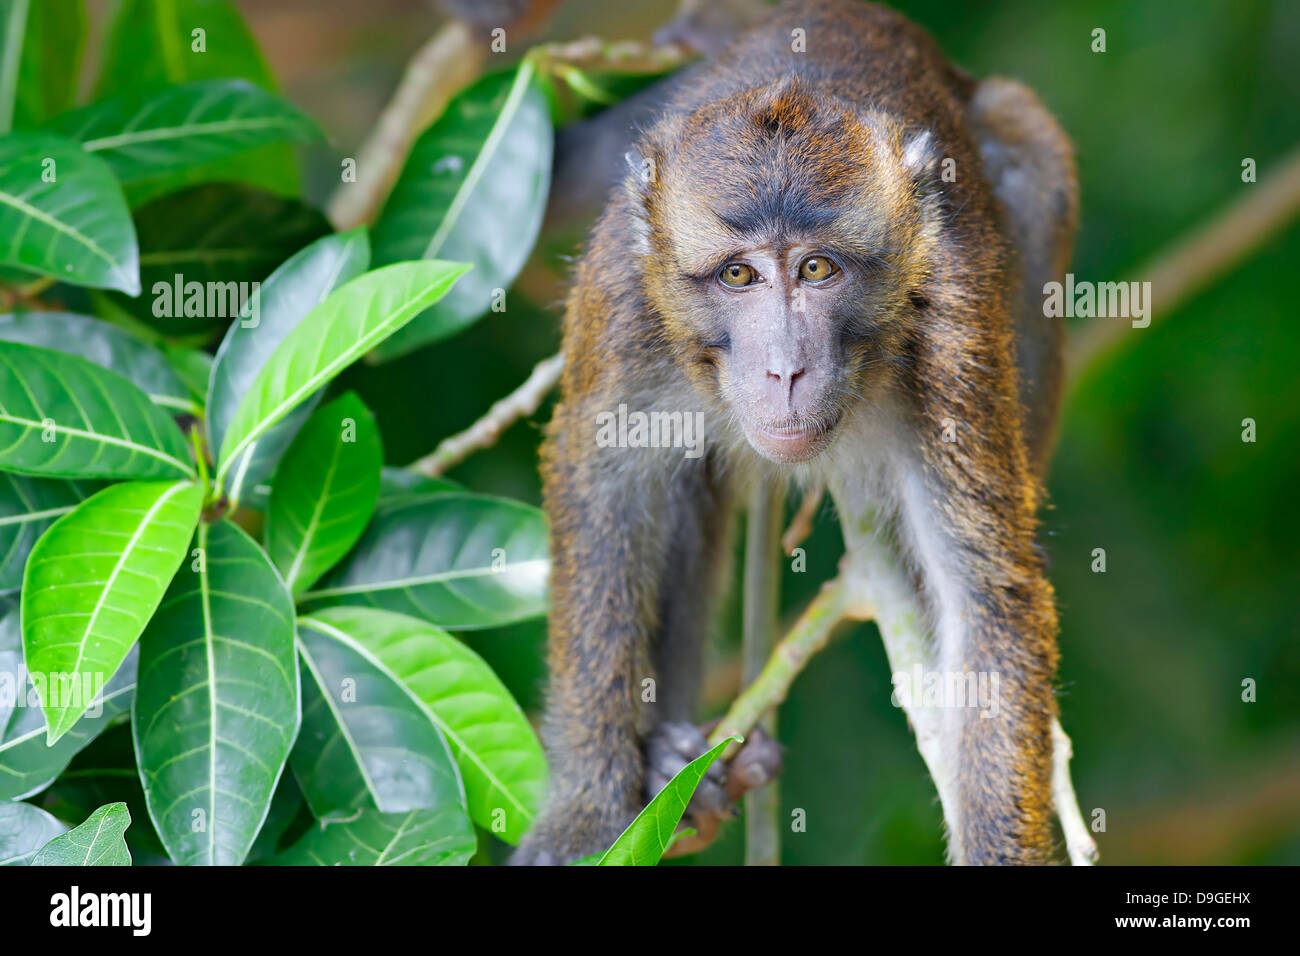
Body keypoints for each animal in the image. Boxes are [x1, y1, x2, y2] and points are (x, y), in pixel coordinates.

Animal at [513, 0, 1078, 865]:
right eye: (737, 275)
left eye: (817, 270)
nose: (785, 368)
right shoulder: (623, 293)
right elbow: (601, 483)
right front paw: (581, 813)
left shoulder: (950, 324)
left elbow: (984, 595)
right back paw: (678, 773)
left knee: (1030, 149)